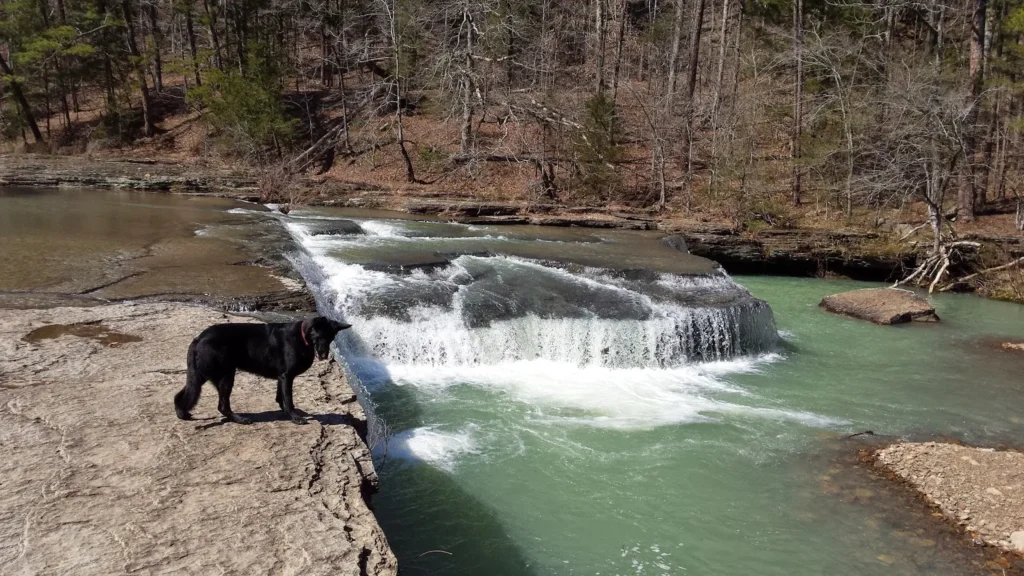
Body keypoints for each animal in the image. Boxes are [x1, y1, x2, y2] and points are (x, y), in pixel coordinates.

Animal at [172, 313, 352, 422]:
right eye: (319, 336)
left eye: (330, 338)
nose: (323, 354)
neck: (303, 337)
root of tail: (198, 339)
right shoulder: (287, 376)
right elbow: (289, 399)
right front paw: (295, 417)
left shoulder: (282, 377)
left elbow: (281, 397)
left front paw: (286, 412)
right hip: (226, 376)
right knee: (222, 405)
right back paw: (240, 419)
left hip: (200, 375)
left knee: (181, 395)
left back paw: (182, 413)